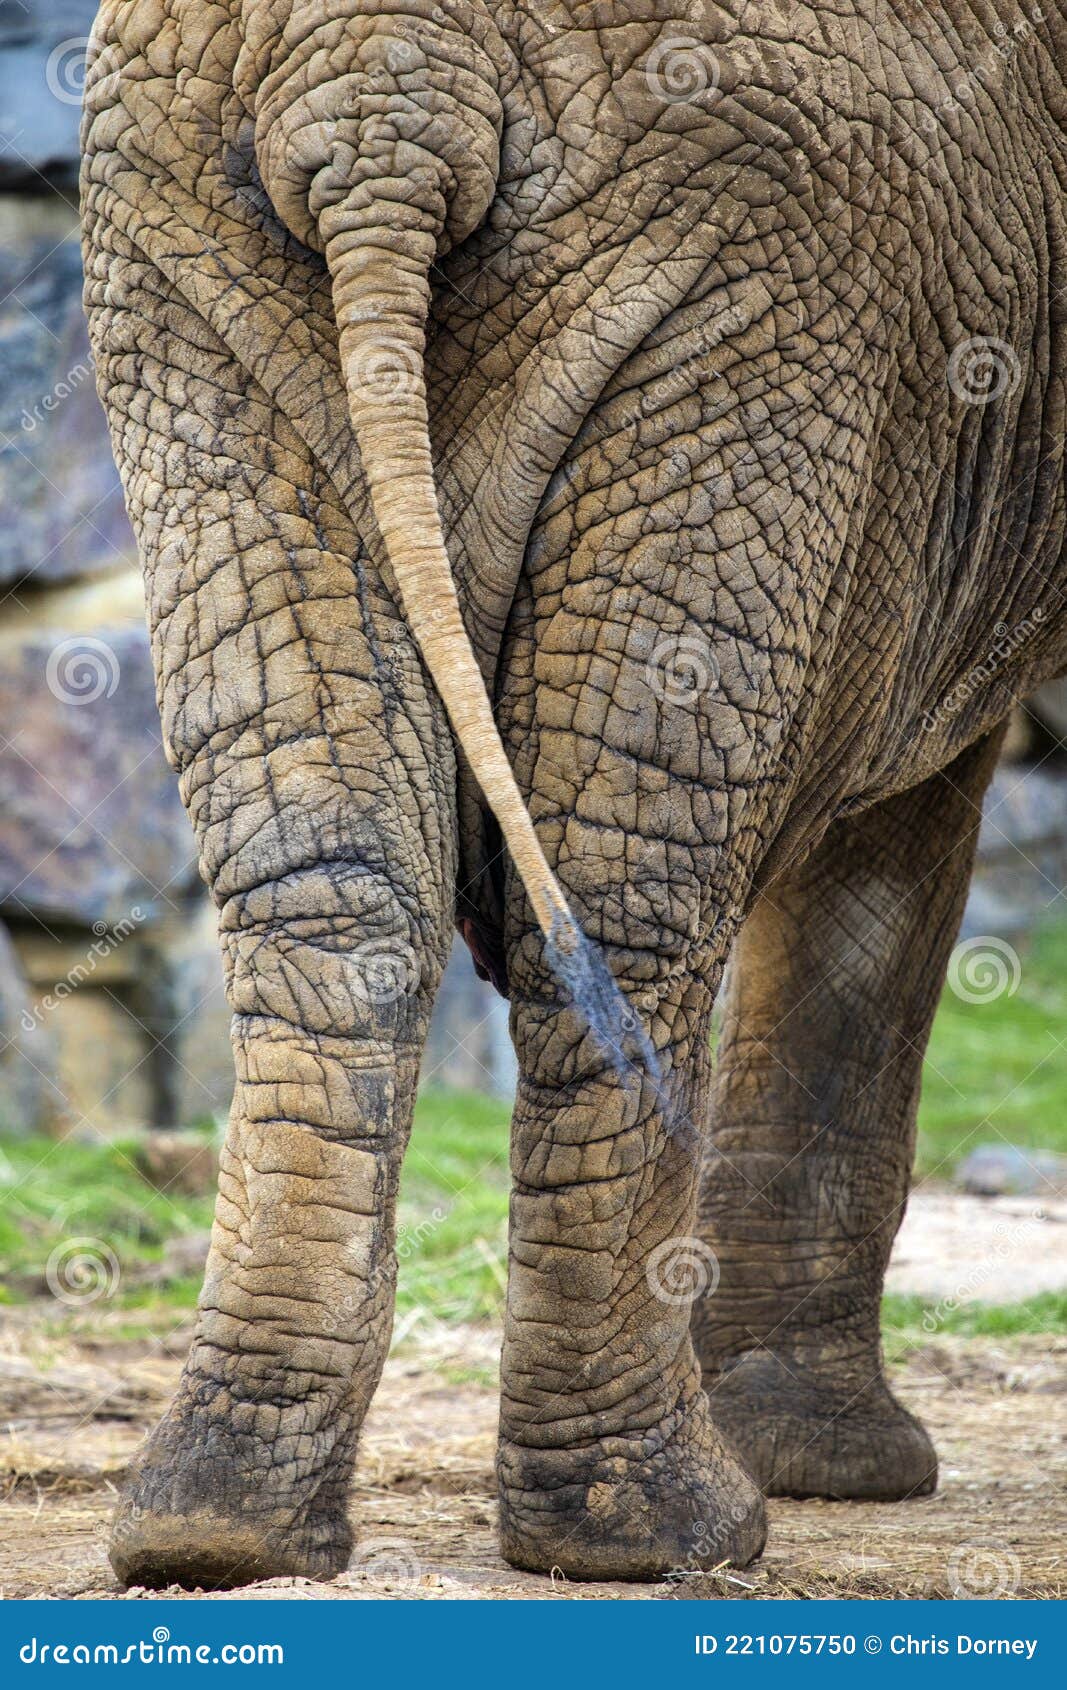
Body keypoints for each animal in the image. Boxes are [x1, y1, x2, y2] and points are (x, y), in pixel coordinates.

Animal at [80, 0, 1067, 1589]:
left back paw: (215, 1526)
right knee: (629, 881)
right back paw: (665, 1531)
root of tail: (383, 97)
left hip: (182, 254)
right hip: (761, 268)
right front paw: (834, 1472)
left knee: (335, 889)